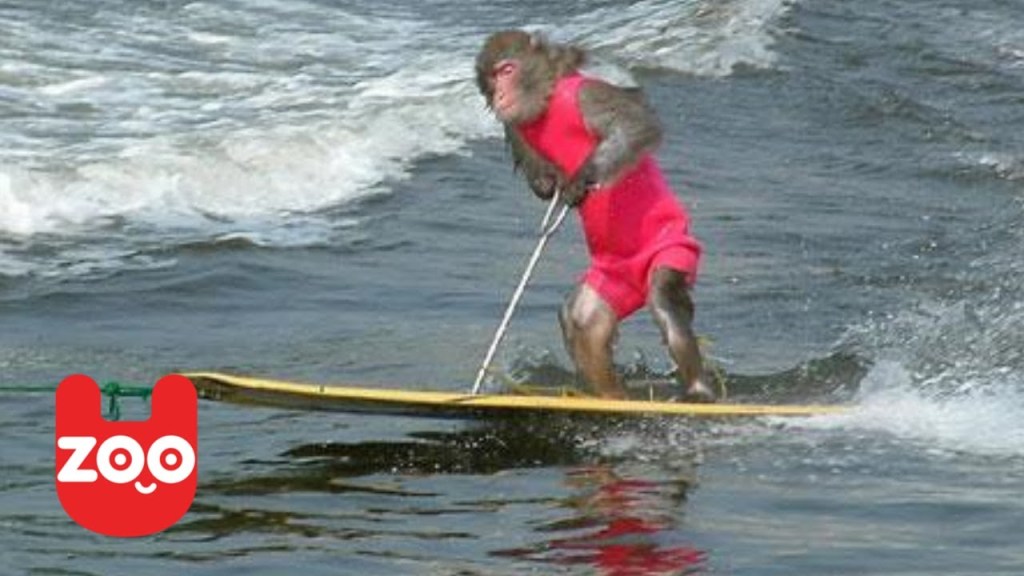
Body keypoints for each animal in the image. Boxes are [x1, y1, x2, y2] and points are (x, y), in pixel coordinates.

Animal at [475, 30, 715, 402]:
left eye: (507, 70)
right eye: (492, 77)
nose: (499, 93)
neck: (547, 99)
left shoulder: (586, 94)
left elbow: (635, 125)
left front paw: (577, 183)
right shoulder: (513, 124)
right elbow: (541, 183)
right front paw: (555, 182)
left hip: (676, 248)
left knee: (663, 297)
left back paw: (698, 390)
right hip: (611, 277)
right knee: (583, 318)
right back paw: (612, 397)